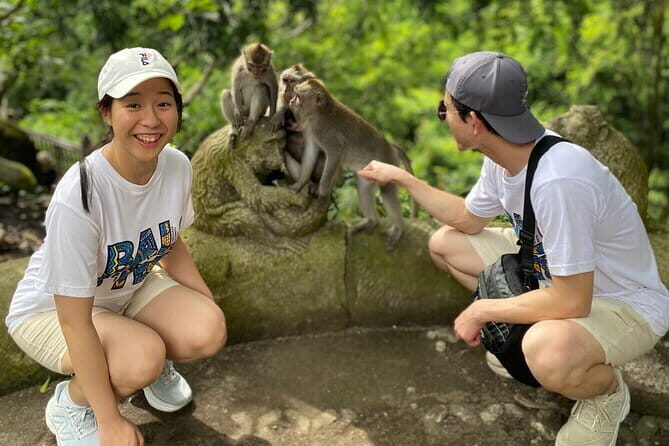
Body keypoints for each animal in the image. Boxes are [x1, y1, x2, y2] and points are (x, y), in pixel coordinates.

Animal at [288, 78, 416, 249]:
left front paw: (322, 192)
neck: (318, 114)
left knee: (387, 191)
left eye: (298, 95)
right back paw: (371, 222)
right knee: (363, 189)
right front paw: (300, 184)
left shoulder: (328, 135)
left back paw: (398, 229)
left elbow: (334, 155)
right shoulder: (310, 131)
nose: (291, 100)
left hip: (387, 163)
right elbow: (310, 153)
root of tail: (389, 145)